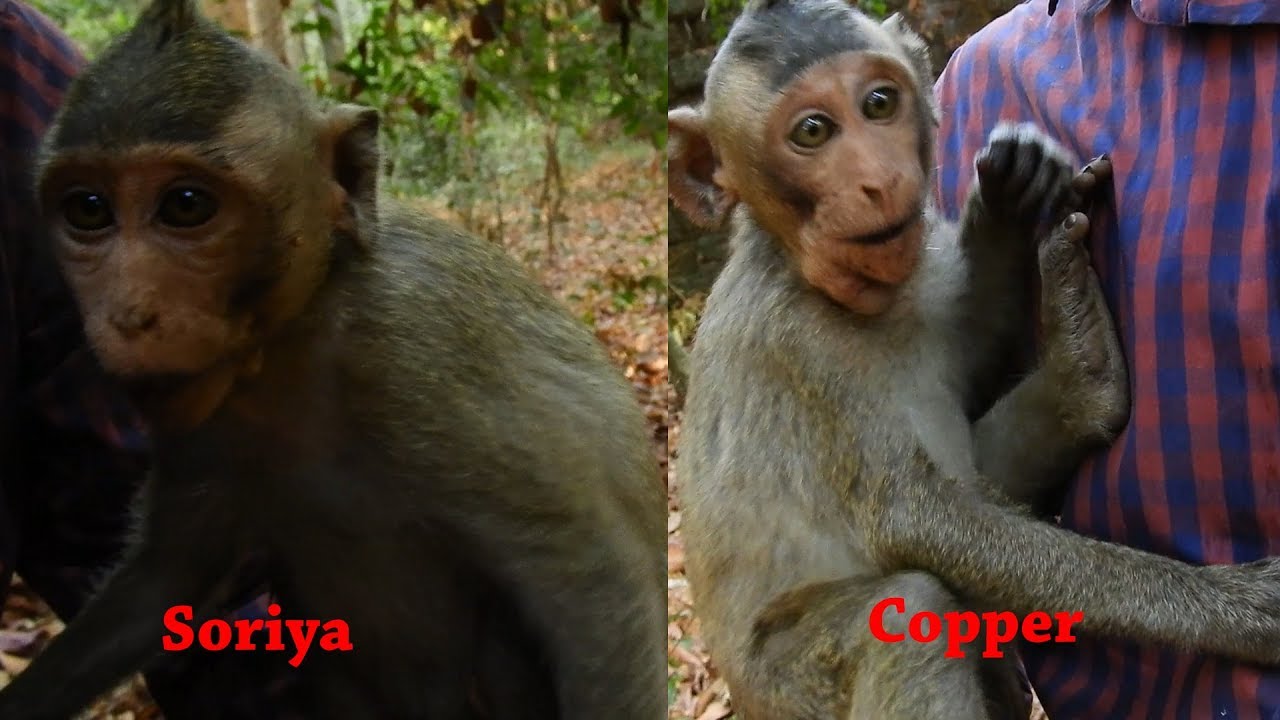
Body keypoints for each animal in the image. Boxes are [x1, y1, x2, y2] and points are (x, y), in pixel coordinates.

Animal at [0, 1, 664, 718]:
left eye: (185, 205)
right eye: (88, 209)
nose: (129, 313)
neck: (291, 342)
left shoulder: (415, 354)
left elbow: (586, 571)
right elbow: (164, 581)